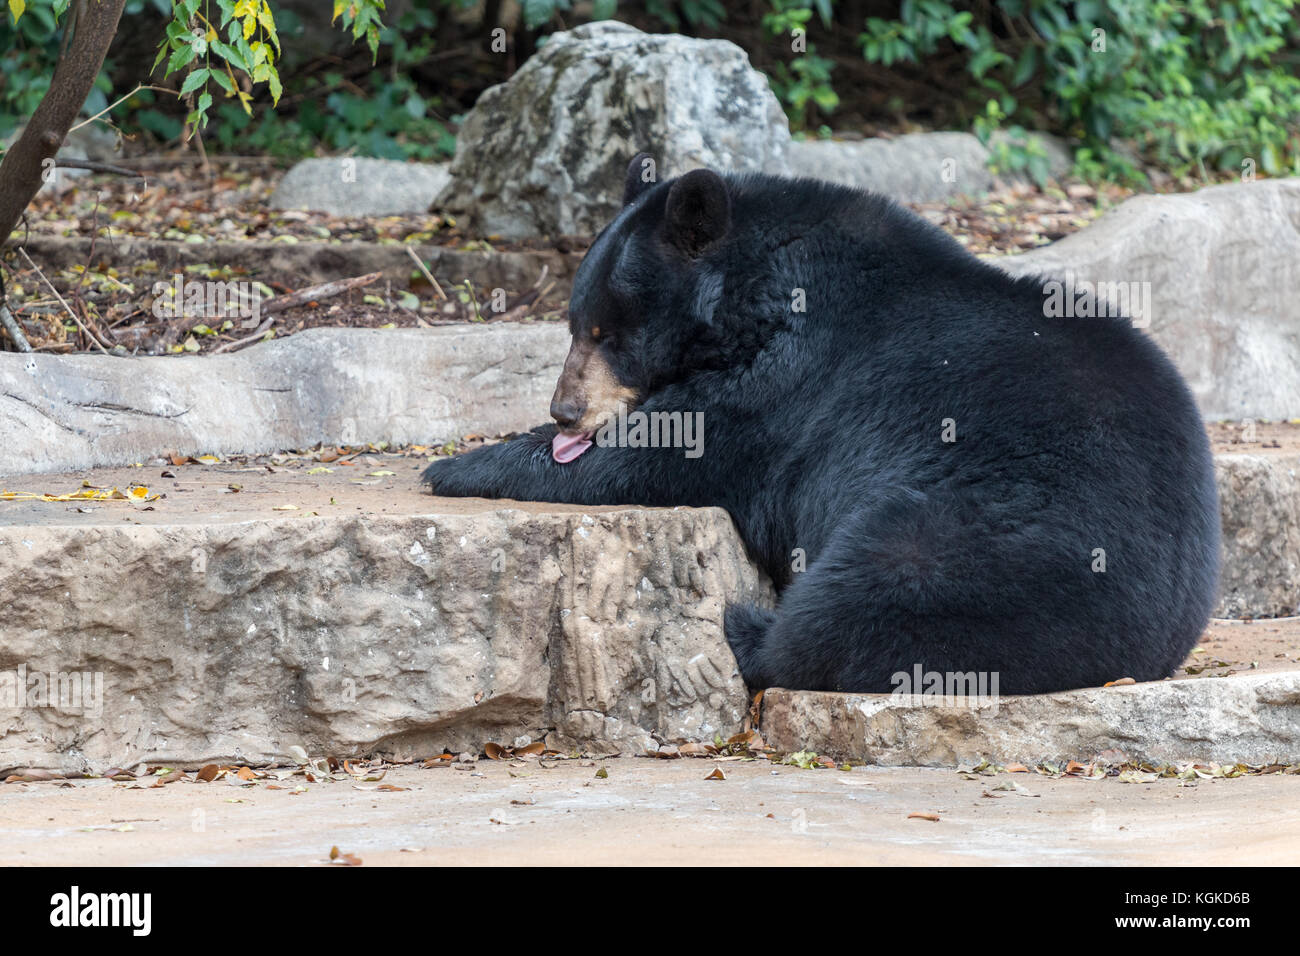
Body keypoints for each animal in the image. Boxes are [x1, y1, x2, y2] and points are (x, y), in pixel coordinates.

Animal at [423, 154, 1221, 696]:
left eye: (608, 332)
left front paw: (457, 464)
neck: (755, 291)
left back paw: (749, 627)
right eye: (573, 323)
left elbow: (667, 450)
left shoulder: (795, 381)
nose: (565, 410)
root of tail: (1163, 633)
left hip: (997, 543)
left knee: (873, 588)